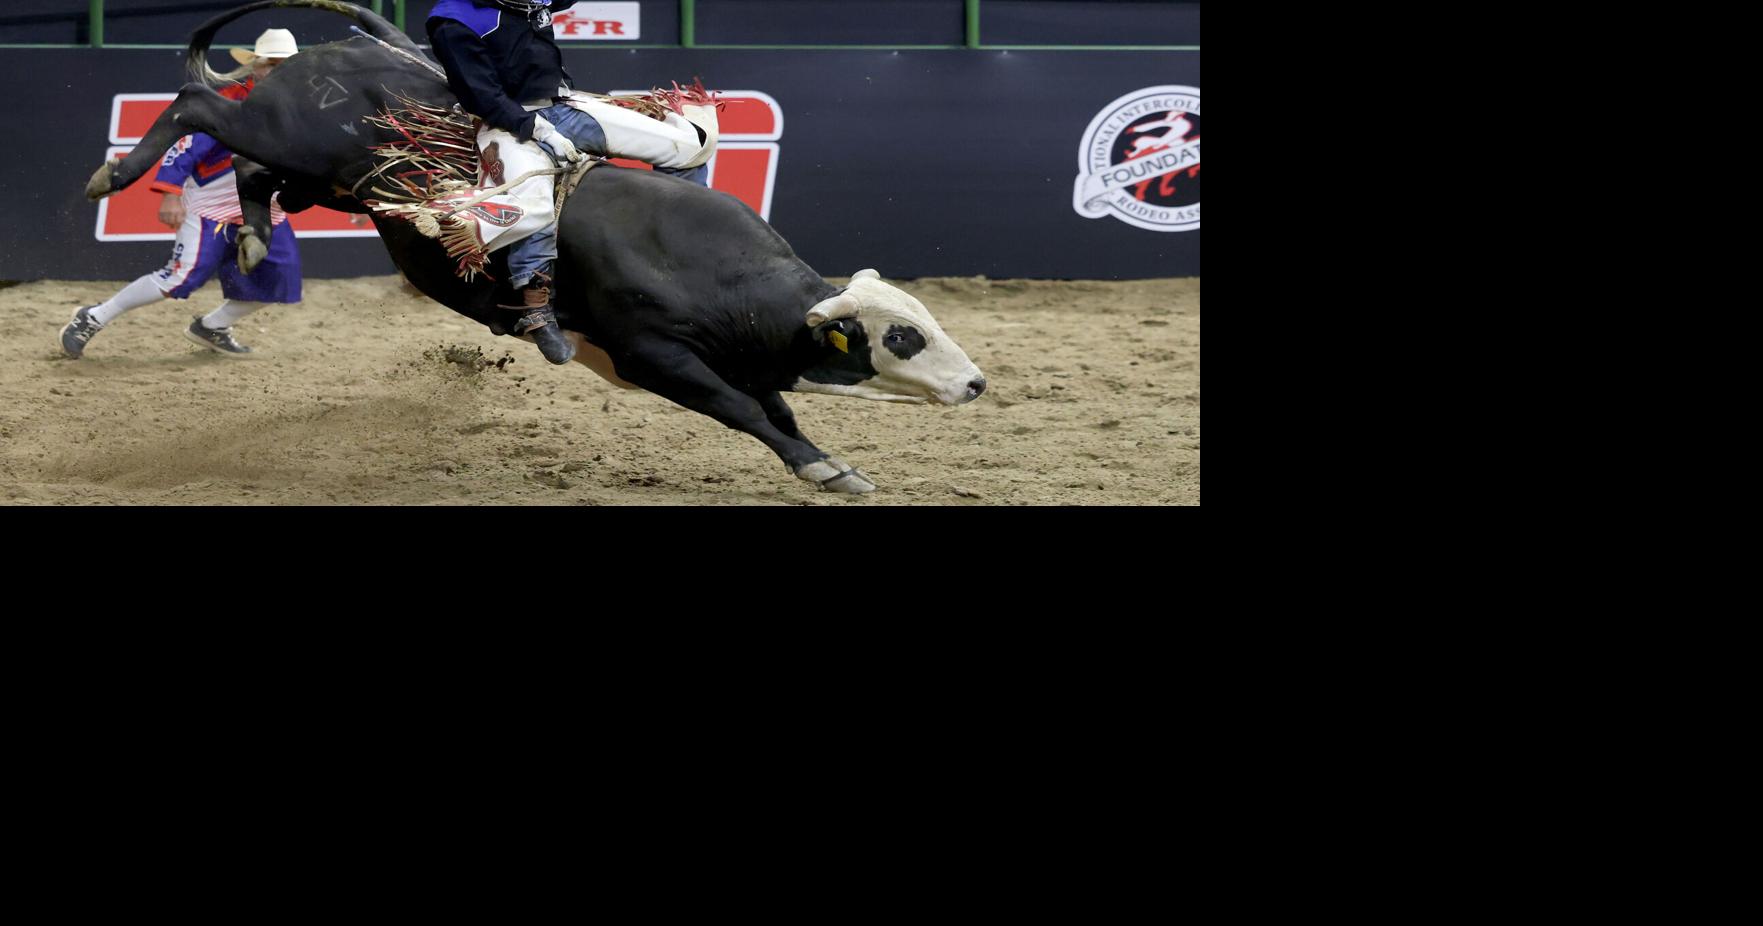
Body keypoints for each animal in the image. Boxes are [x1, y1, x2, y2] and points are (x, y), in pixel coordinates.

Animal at [85, 0, 986, 495]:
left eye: (926, 320)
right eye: (901, 336)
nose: (976, 383)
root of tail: (359, 49)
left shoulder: (744, 361)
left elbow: (773, 407)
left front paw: (828, 462)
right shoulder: (652, 357)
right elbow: (739, 410)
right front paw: (823, 467)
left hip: (328, 181)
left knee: (252, 174)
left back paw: (251, 240)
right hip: (286, 129)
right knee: (201, 104)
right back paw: (117, 170)